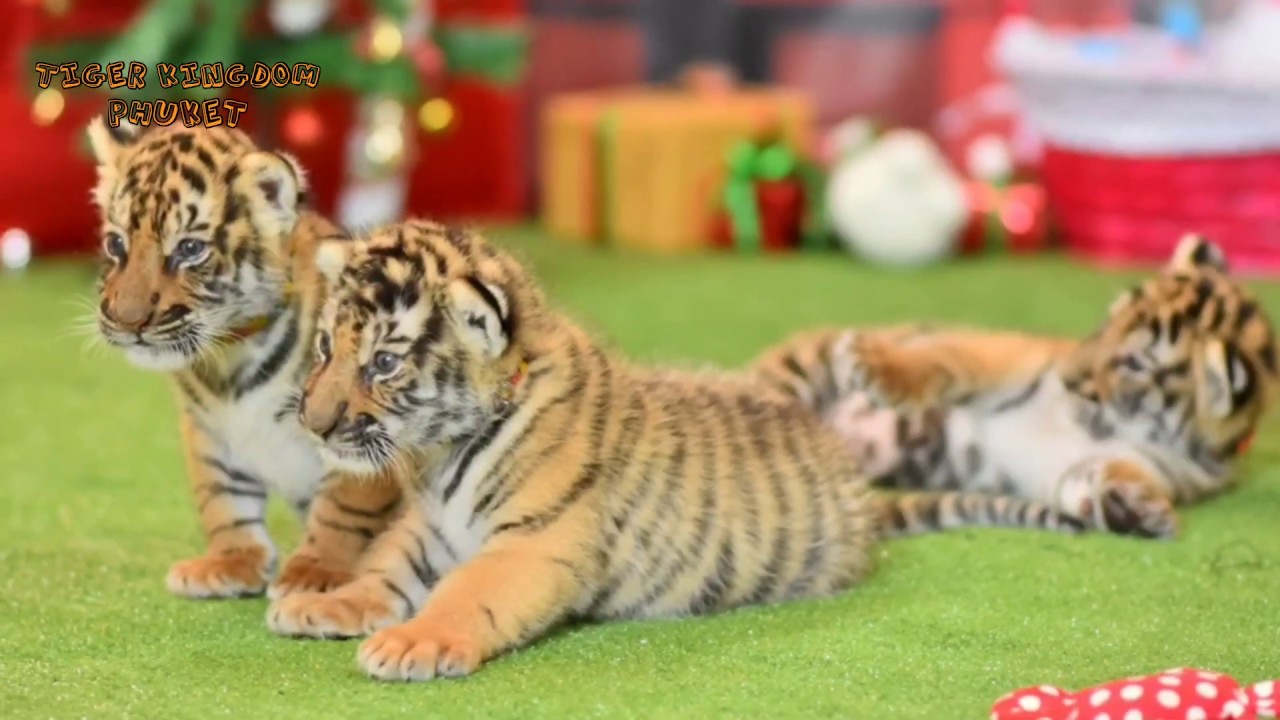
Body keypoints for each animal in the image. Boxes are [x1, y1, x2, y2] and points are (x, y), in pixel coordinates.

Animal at [87, 116, 401, 600]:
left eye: (190, 249)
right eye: (116, 244)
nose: (128, 320)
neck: (230, 352)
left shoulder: (361, 423)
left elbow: (344, 510)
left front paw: (316, 573)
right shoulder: (209, 429)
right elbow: (222, 496)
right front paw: (231, 561)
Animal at [262, 220, 1085, 681]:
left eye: (384, 364)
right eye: (326, 348)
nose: (315, 423)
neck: (442, 454)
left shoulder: (534, 542)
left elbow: (468, 593)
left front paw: (413, 642)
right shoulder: (428, 526)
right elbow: (385, 565)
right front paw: (327, 603)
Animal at [751, 234, 1278, 540]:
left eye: (1134, 363)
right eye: (1109, 321)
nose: (1069, 375)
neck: (1108, 422)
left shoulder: (1109, 465)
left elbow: (1096, 474)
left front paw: (1136, 508)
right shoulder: (1016, 358)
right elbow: (952, 358)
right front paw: (875, 363)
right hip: (798, 369)